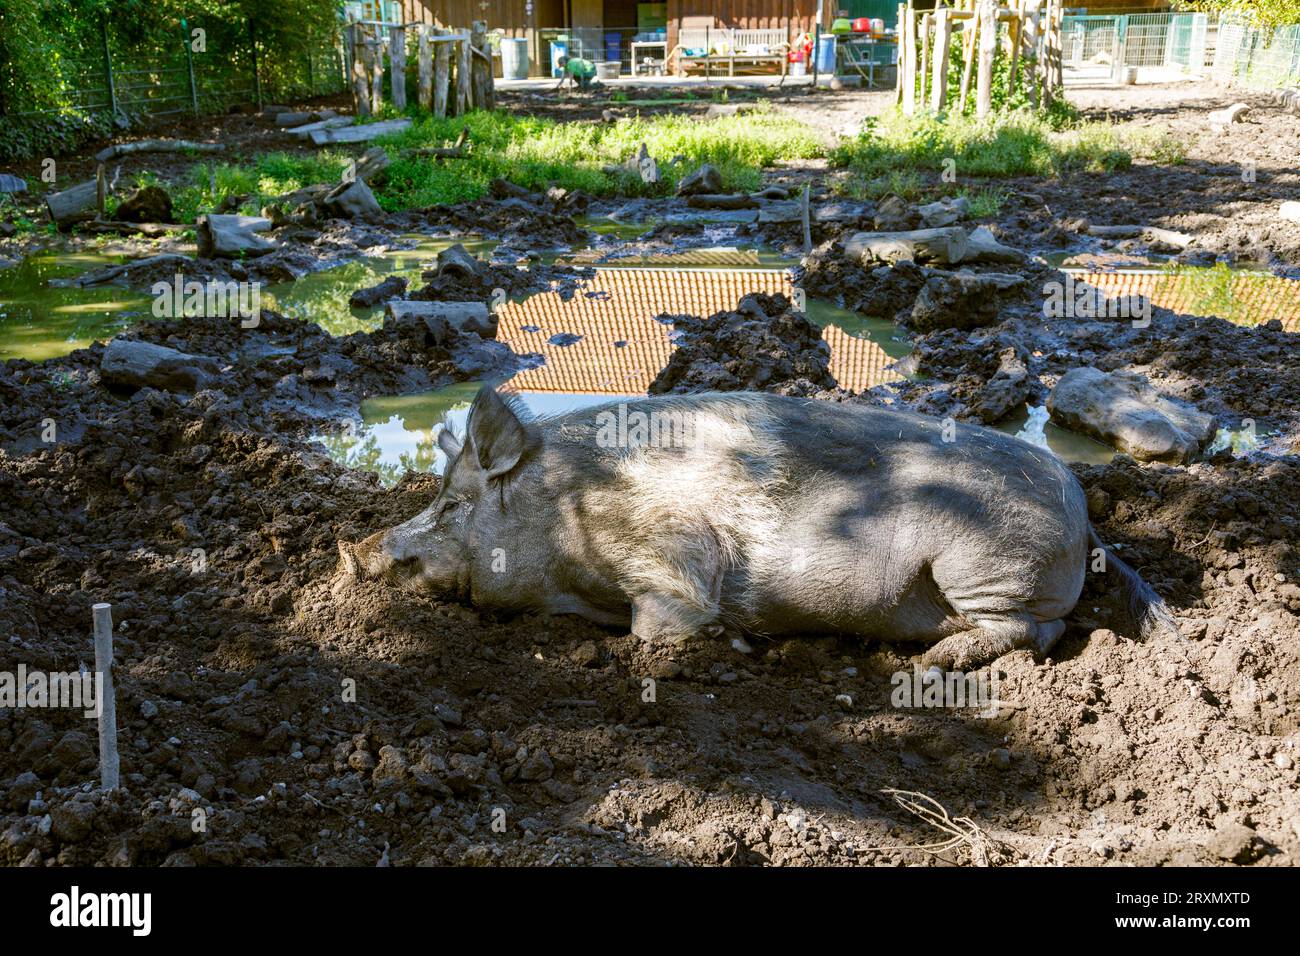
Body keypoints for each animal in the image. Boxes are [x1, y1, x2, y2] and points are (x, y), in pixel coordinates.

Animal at [339, 387, 1173, 669]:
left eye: (454, 505)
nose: (358, 548)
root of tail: (1082, 511)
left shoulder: (672, 550)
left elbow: (661, 622)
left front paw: (733, 642)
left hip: (982, 561)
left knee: (1041, 632)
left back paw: (932, 659)